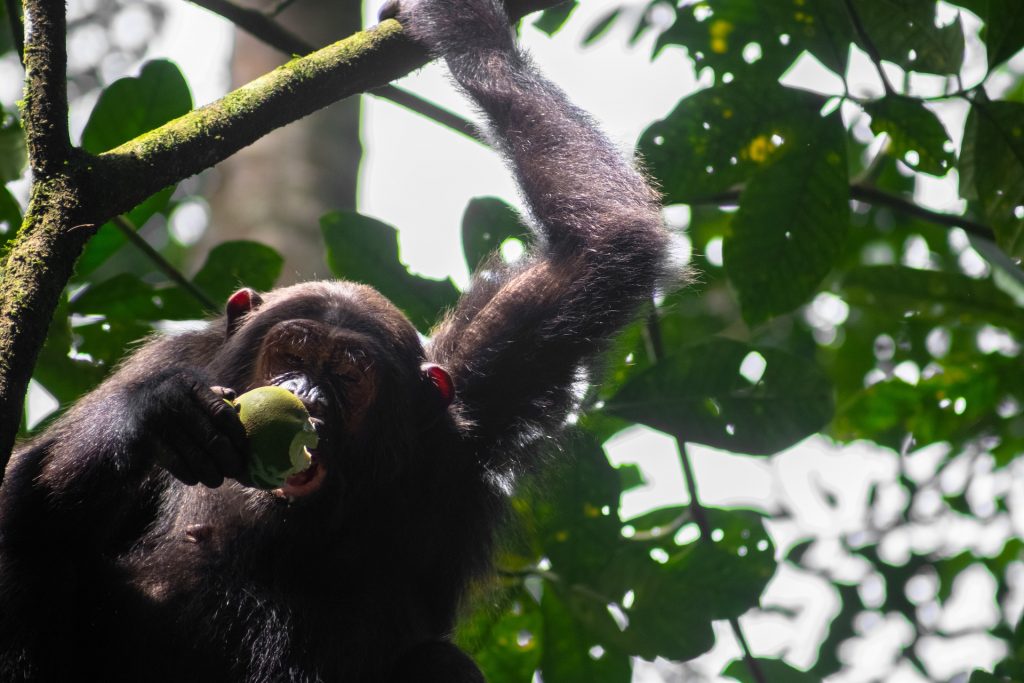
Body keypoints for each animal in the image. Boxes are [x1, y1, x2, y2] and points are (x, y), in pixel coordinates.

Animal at [0, 0, 671, 679]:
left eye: (349, 373)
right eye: (292, 353)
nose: (306, 394)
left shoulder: (482, 393)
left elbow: (600, 245)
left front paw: (464, 24)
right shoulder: (174, 359)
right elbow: (23, 495)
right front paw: (159, 414)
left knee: (440, 661)